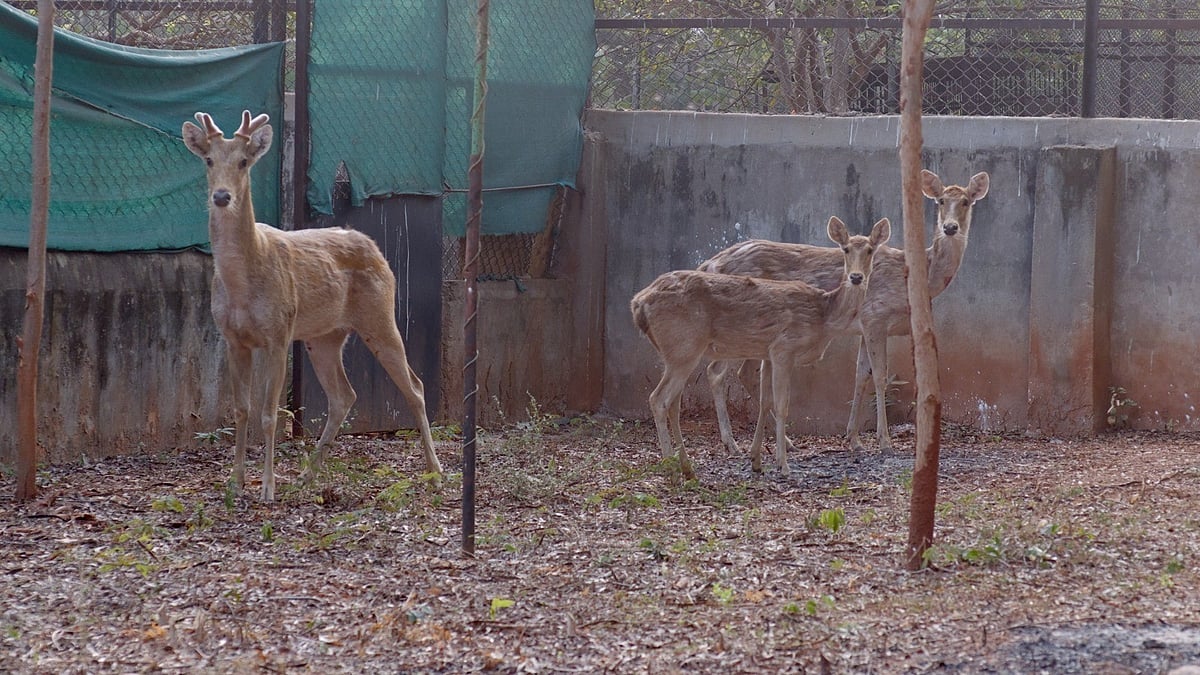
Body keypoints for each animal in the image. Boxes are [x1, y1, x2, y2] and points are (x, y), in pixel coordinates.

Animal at [182, 110, 443, 501]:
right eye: (209, 160)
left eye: (244, 162)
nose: (222, 196)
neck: (243, 285)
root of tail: (376, 248)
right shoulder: (232, 338)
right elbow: (241, 410)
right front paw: (236, 481)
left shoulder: (278, 333)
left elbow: (269, 414)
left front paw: (268, 487)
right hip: (324, 337)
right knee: (344, 395)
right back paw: (306, 476)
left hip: (380, 314)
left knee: (415, 387)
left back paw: (436, 472)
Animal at [631, 216, 890, 480]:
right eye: (845, 249)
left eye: (870, 250)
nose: (856, 277)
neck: (823, 317)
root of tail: (637, 303)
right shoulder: (783, 348)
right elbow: (782, 404)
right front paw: (782, 465)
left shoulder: (768, 354)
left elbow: (765, 401)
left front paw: (756, 459)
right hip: (684, 347)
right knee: (658, 399)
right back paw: (671, 466)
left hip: (677, 353)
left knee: (673, 403)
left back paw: (686, 466)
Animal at [700, 169, 990, 458]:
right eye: (940, 201)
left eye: (966, 201)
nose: (950, 227)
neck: (916, 278)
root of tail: (710, 263)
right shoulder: (876, 315)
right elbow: (880, 376)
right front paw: (884, 442)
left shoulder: (865, 326)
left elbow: (861, 376)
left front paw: (854, 439)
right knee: (717, 372)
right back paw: (732, 443)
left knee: (743, 373)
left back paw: (783, 442)